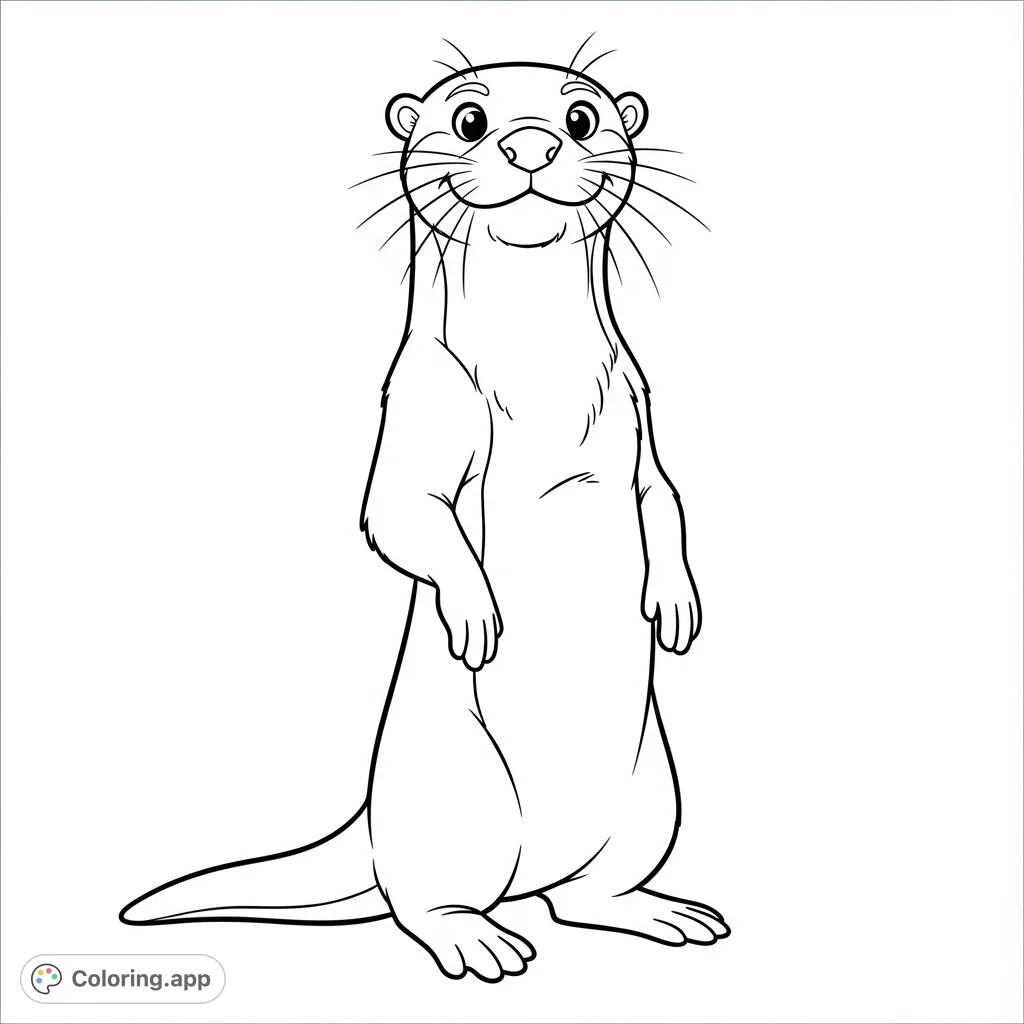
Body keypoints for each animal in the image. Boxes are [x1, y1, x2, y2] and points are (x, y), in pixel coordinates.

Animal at [120, 52, 730, 983]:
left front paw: (676, 602)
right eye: (470, 118)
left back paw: (654, 910)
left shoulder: (638, 399)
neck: (542, 369)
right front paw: (475, 611)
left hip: (650, 795)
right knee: (426, 900)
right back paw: (474, 938)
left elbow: (662, 499)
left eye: (582, 118)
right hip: (461, 791)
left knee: (585, 894)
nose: (530, 142)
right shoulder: (419, 402)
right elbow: (399, 513)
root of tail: (370, 827)